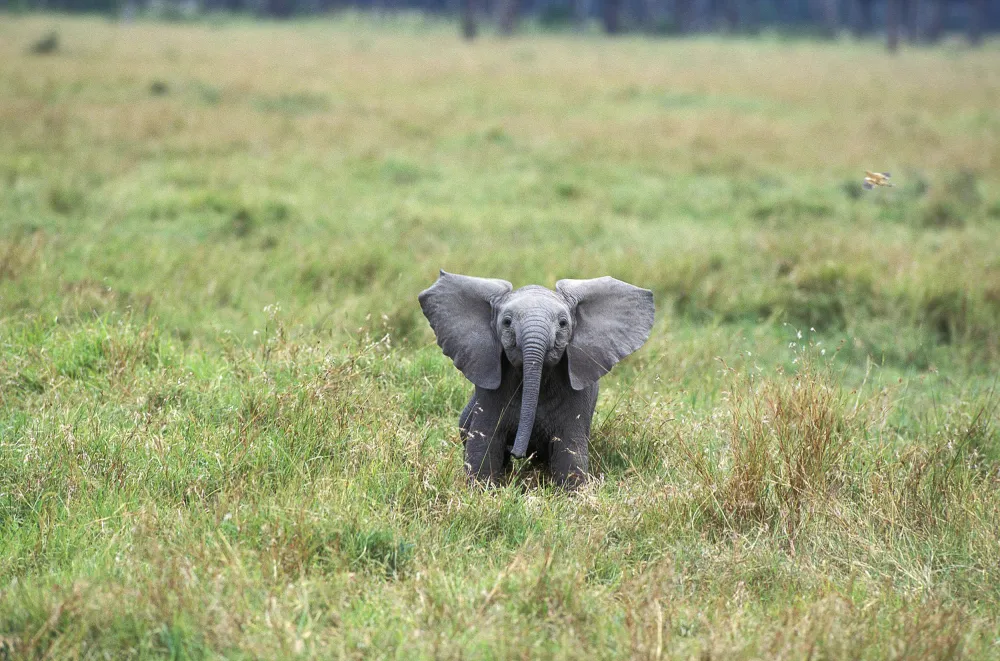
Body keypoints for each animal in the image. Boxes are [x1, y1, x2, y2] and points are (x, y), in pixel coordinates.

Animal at [418, 270, 655, 488]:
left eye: (563, 323)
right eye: (506, 322)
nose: (517, 452)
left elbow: (569, 449)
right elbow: (485, 443)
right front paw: (481, 491)